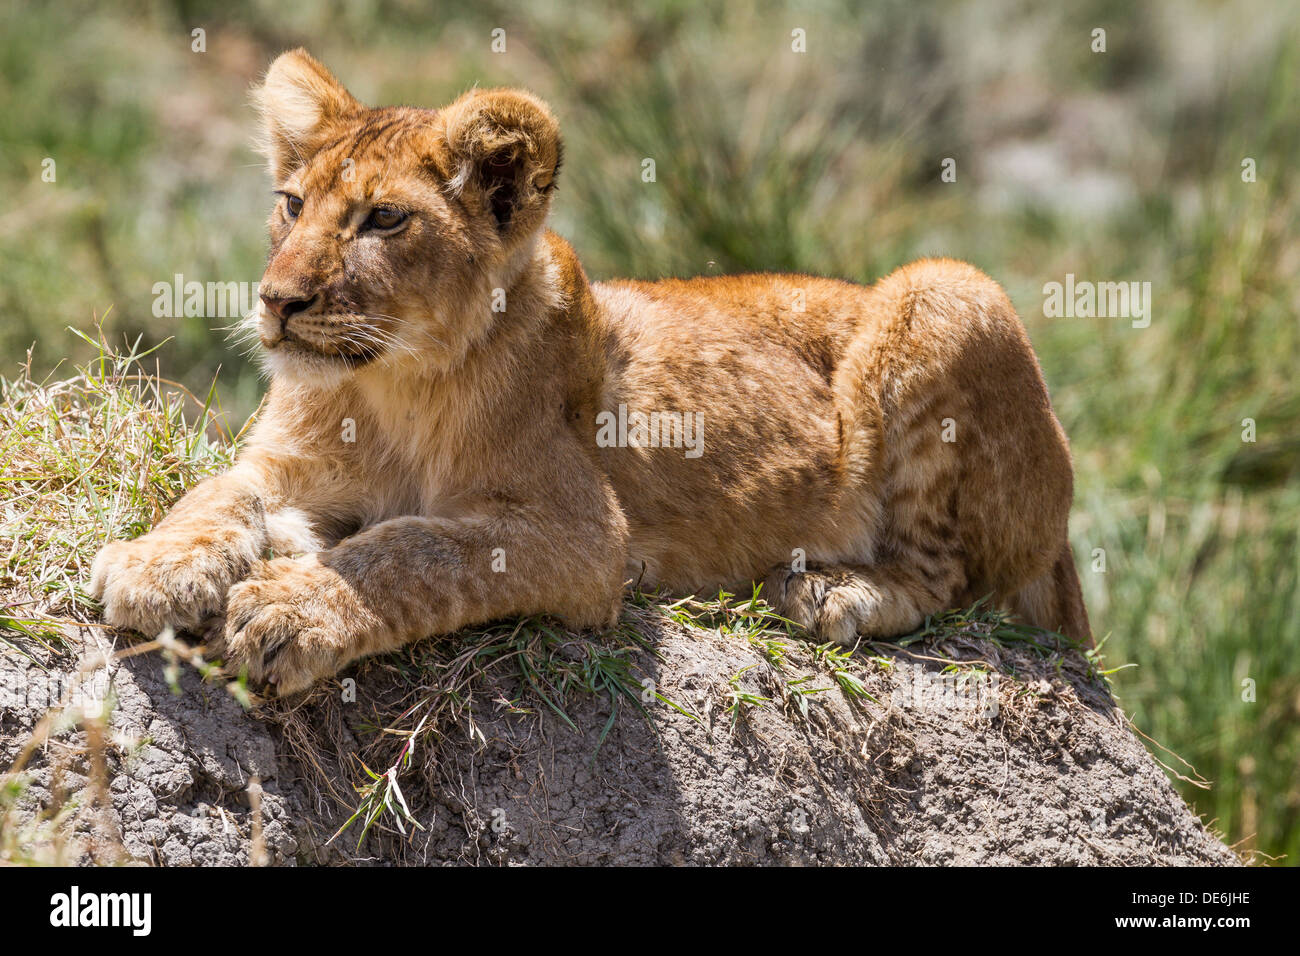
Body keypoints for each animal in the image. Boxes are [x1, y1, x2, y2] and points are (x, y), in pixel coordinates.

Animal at [90, 49, 1090, 695]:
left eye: (383, 219)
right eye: (292, 205)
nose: (276, 300)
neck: (386, 390)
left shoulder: (584, 537)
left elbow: (411, 549)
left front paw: (295, 610)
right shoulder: (287, 467)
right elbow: (218, 491)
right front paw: (154, 564)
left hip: (949, 290)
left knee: (948, 583)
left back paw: (833, 590)